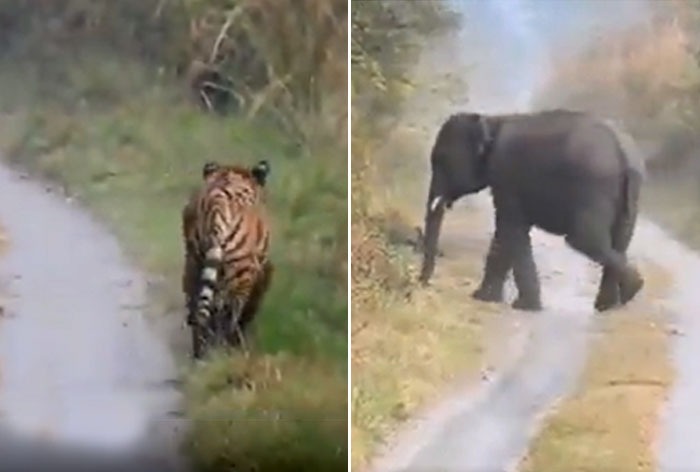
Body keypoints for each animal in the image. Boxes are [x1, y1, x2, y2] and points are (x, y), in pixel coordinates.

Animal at [181, 159, 273, 359]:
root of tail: (218, 202)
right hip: (242, 274)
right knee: (229, 314)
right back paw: (222, 350)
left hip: (194, 260)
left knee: (197, 307)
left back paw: (201, 351)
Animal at [419, 109, 645, 312]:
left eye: (441, 159)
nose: (423, 283)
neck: (492, 121)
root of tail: (624, 154)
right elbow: (505, 234)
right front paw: (484, 298)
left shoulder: (506, 174)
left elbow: (510, 228)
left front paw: (523, 306)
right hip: (630, 195)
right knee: (618, 242)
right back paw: (609, 305)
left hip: (593, 186)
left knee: (585, 240)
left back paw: (631, 290)